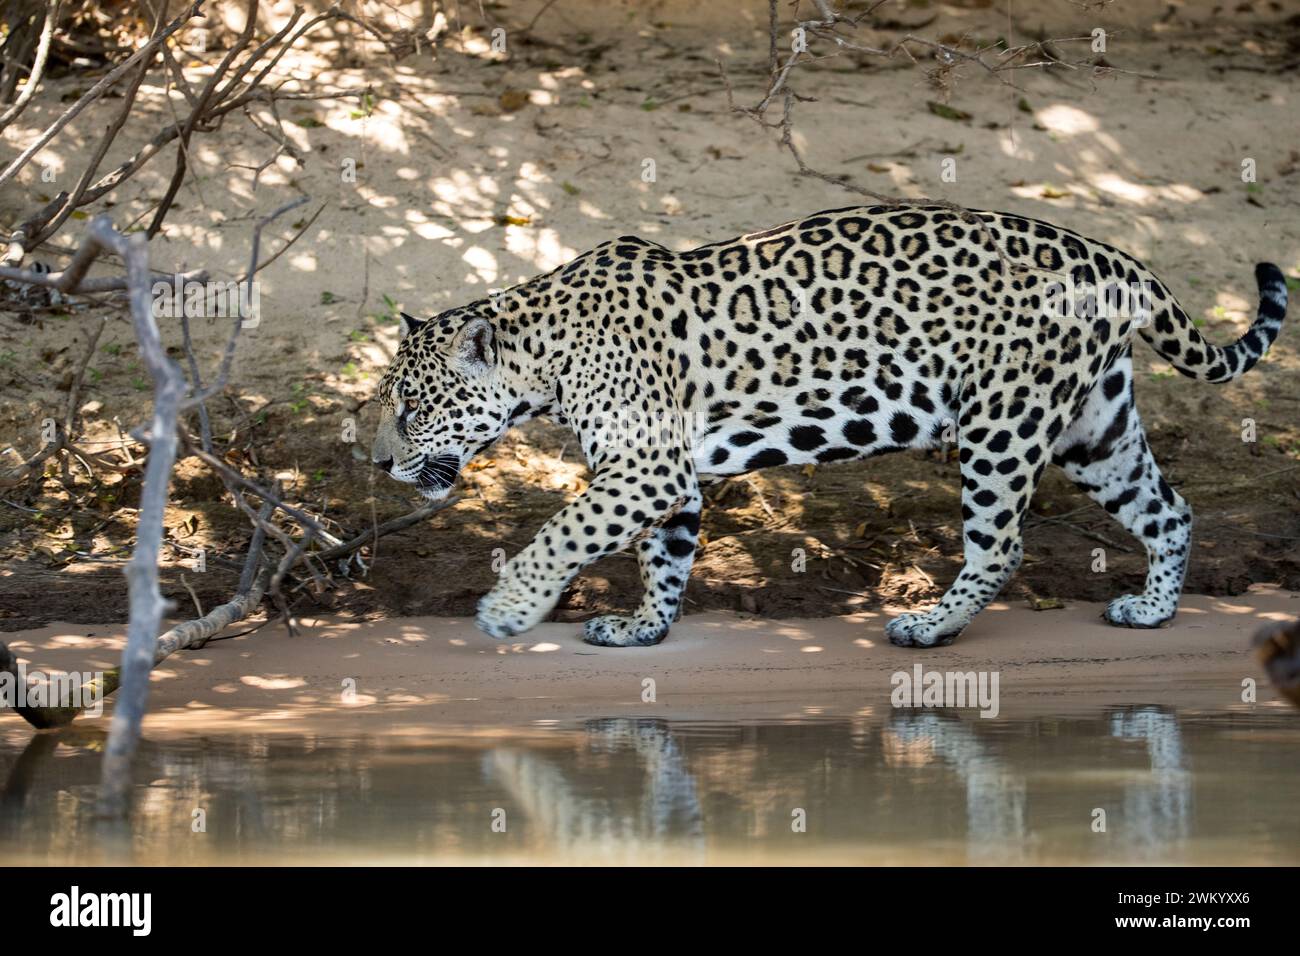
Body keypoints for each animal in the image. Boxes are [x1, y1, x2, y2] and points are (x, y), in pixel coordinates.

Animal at [370, 205, 1288, 649]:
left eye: (413, 408)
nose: (377, 464)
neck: (545, 350)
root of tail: (1113, 254)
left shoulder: (644, 470)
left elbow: (561, 532)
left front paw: (509, 609)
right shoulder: (670, 476)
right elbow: (663, 557)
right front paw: (642, 628)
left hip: (1003, 423)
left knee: (1002, 546)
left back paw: (929, 627)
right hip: (1093, 427)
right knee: (1169, 510)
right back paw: (1154, 609)